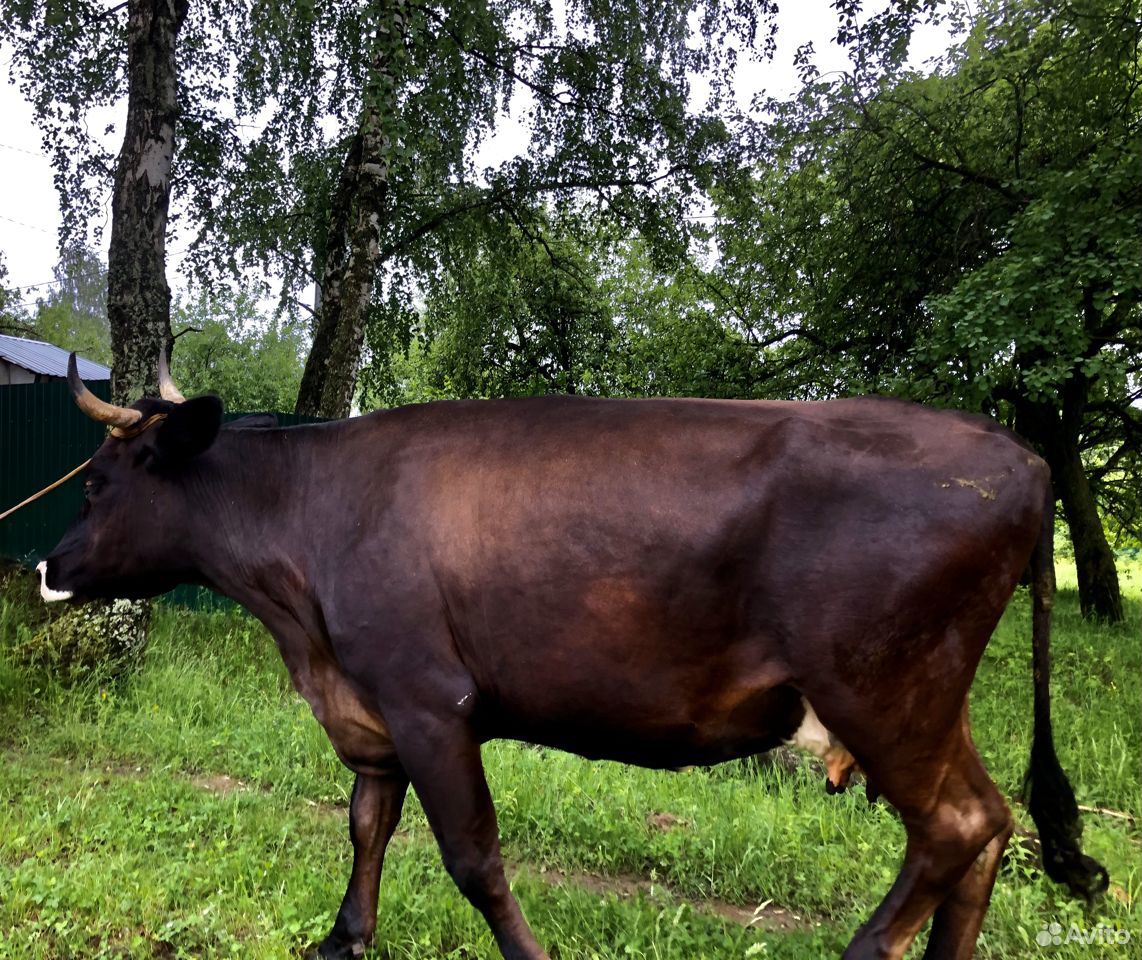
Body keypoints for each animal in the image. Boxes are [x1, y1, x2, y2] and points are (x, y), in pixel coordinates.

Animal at [38, 354, 1107, 960]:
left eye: (94, 484)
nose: (46, 567)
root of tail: (1018, 452)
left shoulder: (429, 699)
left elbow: (473, 858)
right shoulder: (373, 706)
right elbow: (366, 824)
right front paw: (341, 942)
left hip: (884, 691)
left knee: (955, 829)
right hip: (930, 701)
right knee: (988, 824)